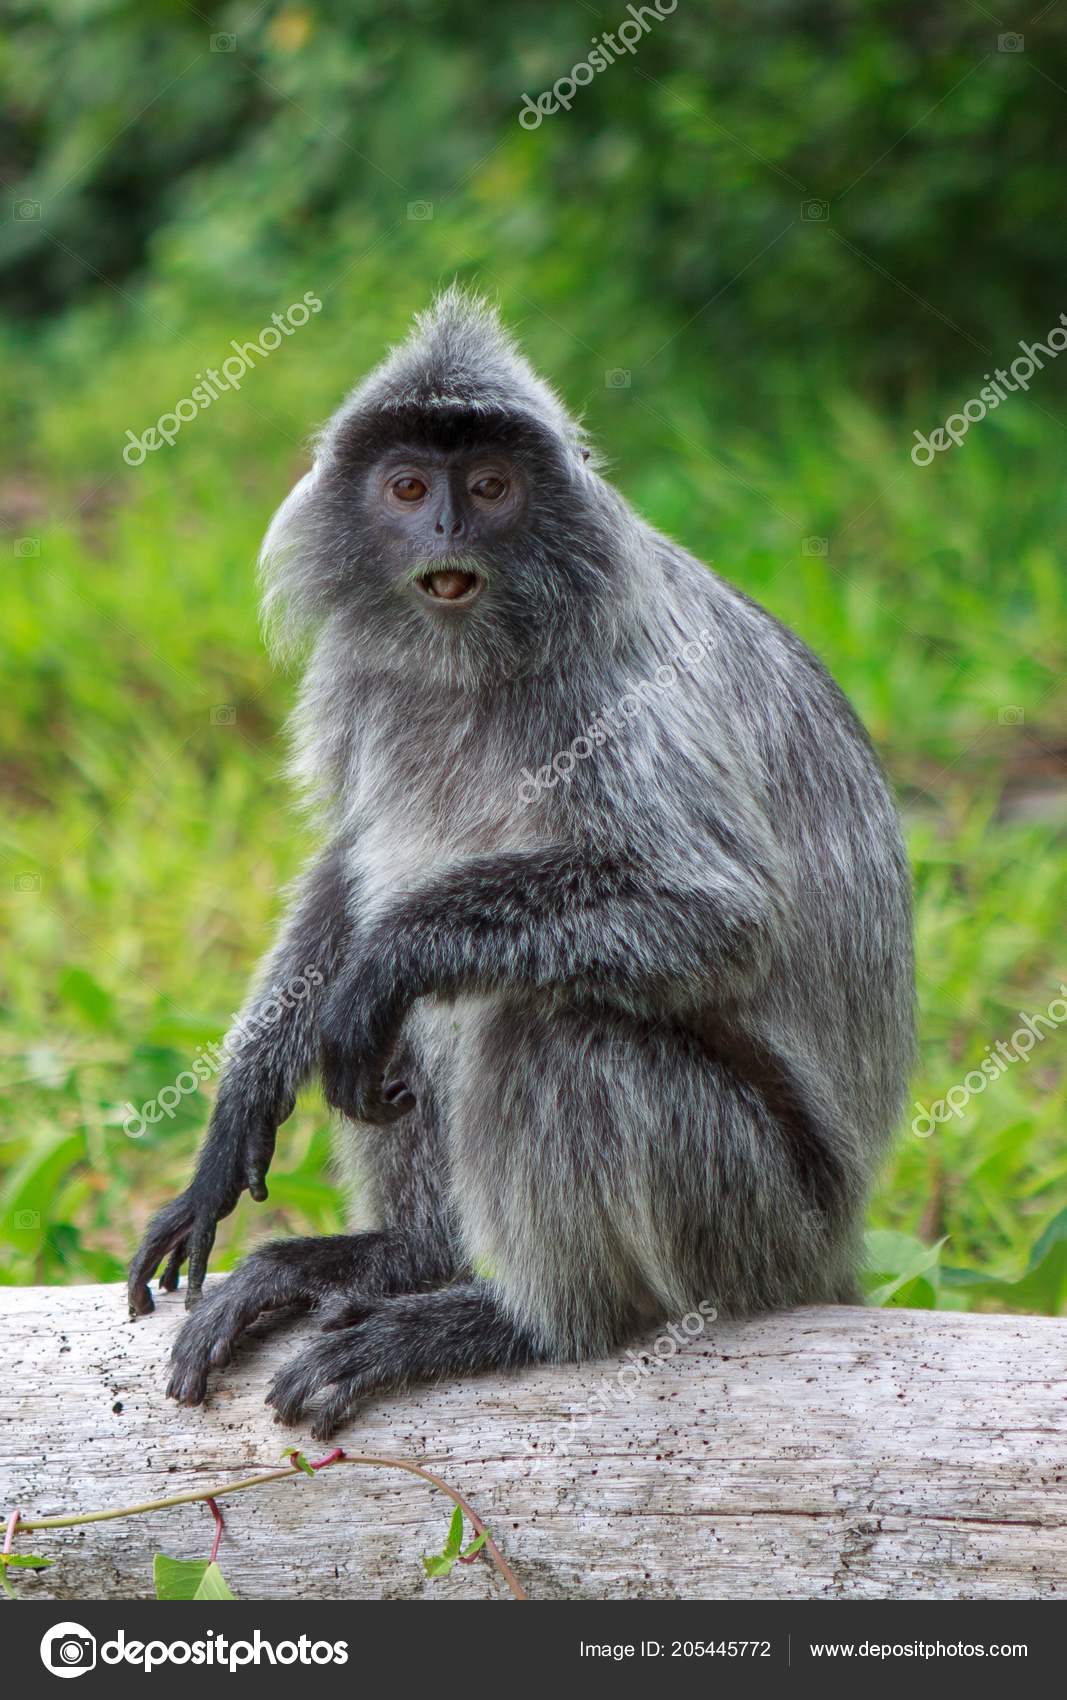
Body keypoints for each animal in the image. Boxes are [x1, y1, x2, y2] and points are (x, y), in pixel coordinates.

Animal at [128, 287, 914, 1440]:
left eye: (491, 487)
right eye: (410, 487)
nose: (447, 531)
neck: (472, 660)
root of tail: (832, 1249)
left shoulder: (618, 675)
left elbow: (713, 913)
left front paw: (384, 961)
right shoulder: (359, 675)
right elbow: (349, 863)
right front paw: (243, 1097)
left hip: (756, 1216)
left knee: (540, 1027)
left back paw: (522, 1324)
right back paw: (404, 1258)